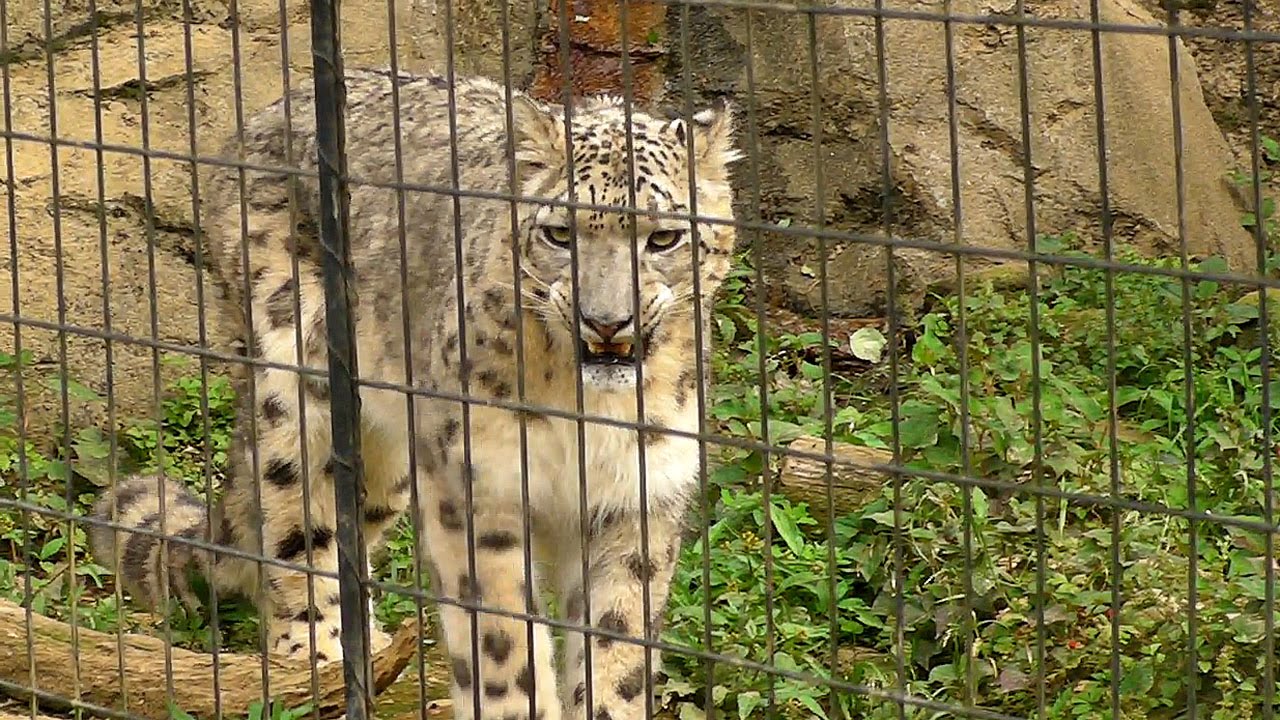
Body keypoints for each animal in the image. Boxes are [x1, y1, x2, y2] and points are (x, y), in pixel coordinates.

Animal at [88, 68, 740, 720]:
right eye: (559, 234)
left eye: (664, 238)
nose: (606, 321)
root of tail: (263, 116)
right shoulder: (482, 489)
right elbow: (502, 644)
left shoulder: (638, 499)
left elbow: (616, 648)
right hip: (295, 376)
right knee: (294, 516)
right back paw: (318, 656)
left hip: (390, 460)